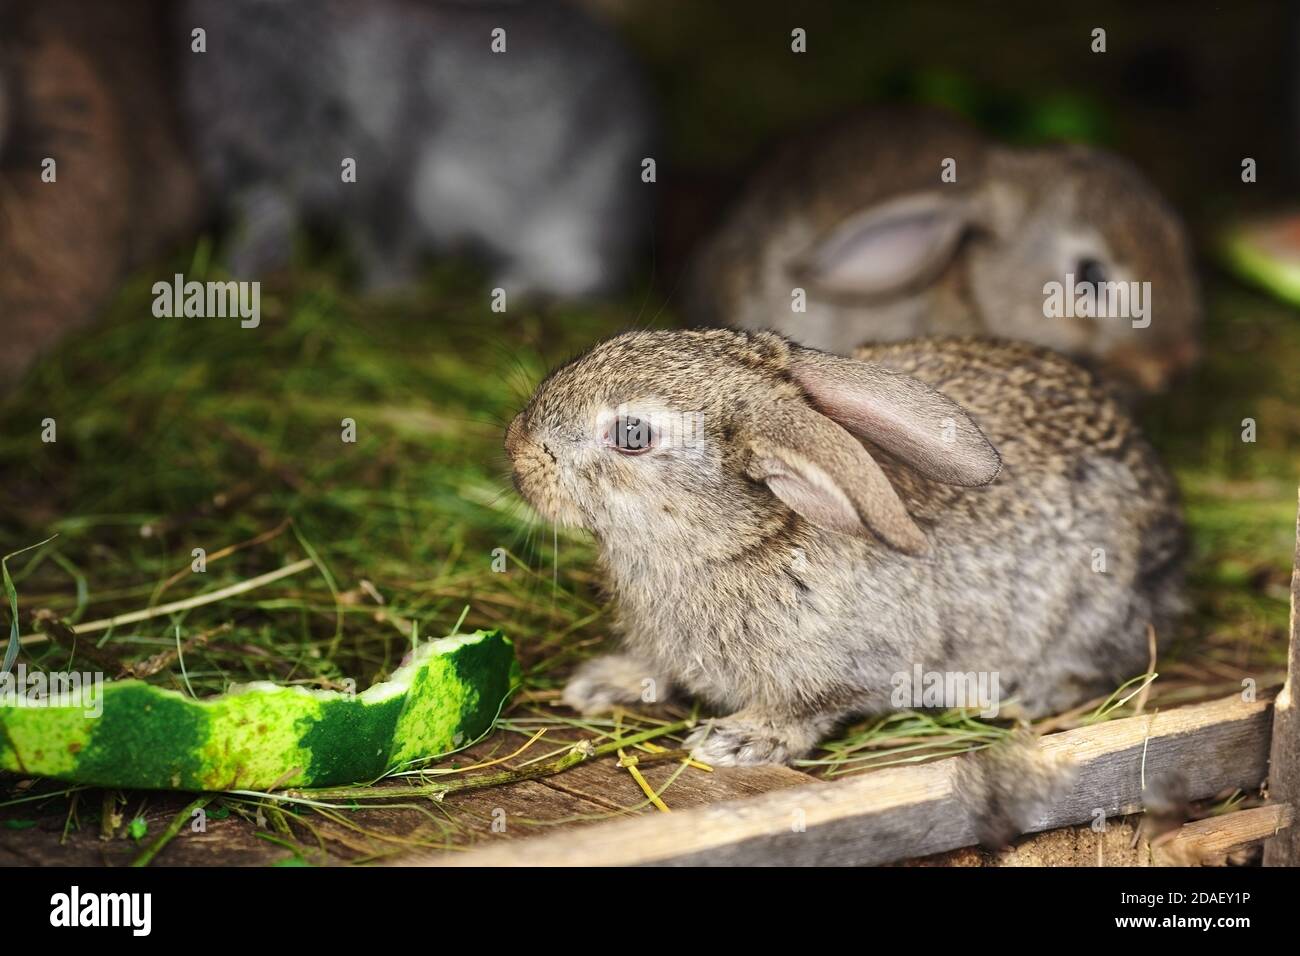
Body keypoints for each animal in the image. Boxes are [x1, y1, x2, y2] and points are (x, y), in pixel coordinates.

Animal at [179, 0, 653, 296]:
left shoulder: (381, 157)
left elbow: (386, 234)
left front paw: (386, 293)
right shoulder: (249, 166)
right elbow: (261, 227)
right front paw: (235, 280)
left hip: (580, 205)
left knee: (588, 270)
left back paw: (512, 285)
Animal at [506, 327, 1186, 766]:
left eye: (632, 434)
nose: (517, 447)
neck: (745, 539)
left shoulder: (852, 667)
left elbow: (810, 708)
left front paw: (739, 741)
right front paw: (600, 683)